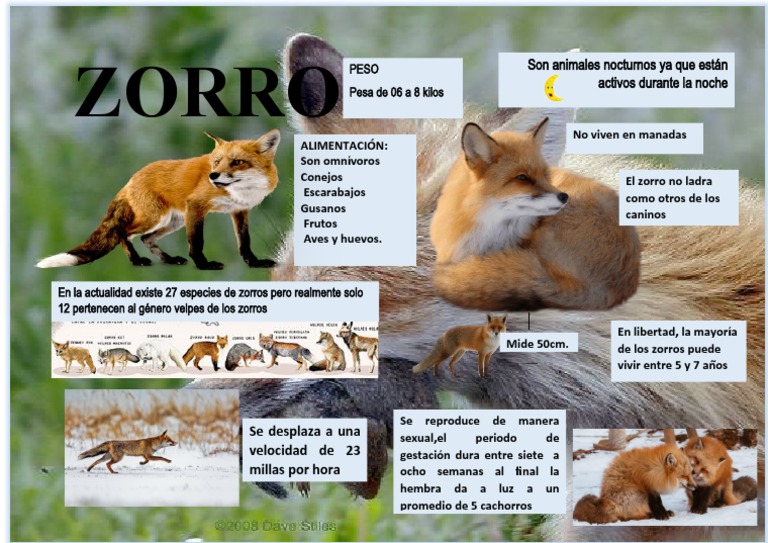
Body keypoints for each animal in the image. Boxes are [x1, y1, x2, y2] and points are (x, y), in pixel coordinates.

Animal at [36, 129, 280, 270]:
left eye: (237, 162)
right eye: (217, 161)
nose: (213, 176)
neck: (241, 192)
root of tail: (131, 179)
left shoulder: (239, 211)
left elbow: (244, 242)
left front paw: (254, 263)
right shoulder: (196, 206)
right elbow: (197, 242)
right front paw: (203, 265)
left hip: (173, 222)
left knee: (146, 239)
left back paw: (168, 260)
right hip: (155, 217)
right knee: (124, 232)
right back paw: (137, 261)